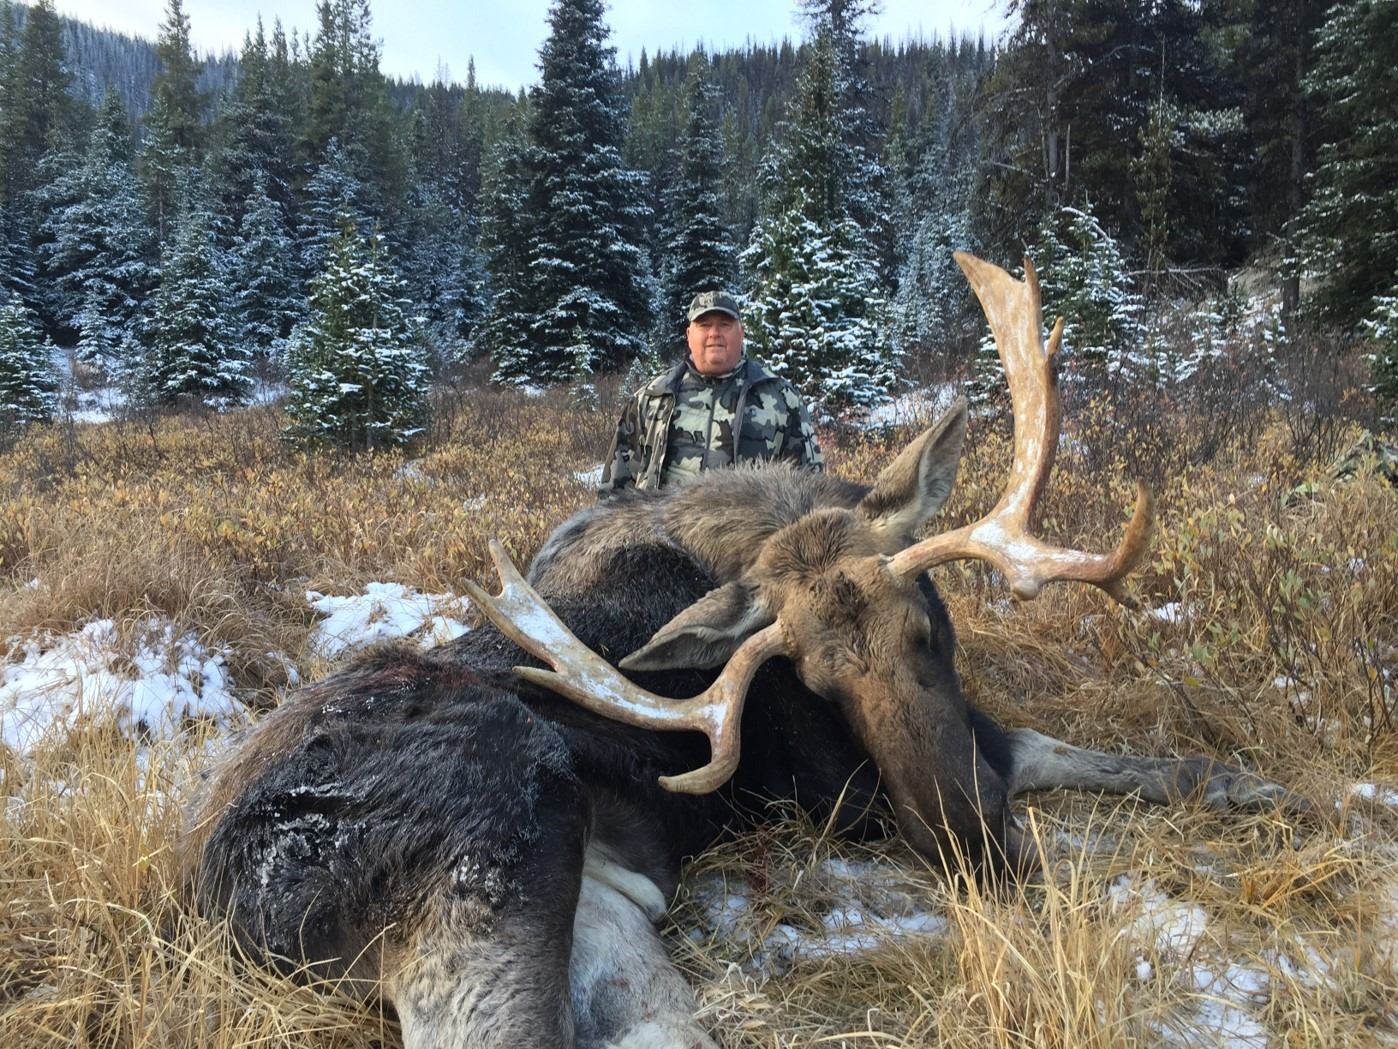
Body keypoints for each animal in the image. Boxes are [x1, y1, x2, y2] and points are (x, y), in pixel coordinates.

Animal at [186, 254, 1298, 1049]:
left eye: (925, 623)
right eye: (815, 681)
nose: (972, 847)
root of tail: (231, 898)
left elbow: (1136, 760)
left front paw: (1264, 787)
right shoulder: (850, 792)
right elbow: (1060, 764)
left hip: (604, 910)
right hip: (504, 837)